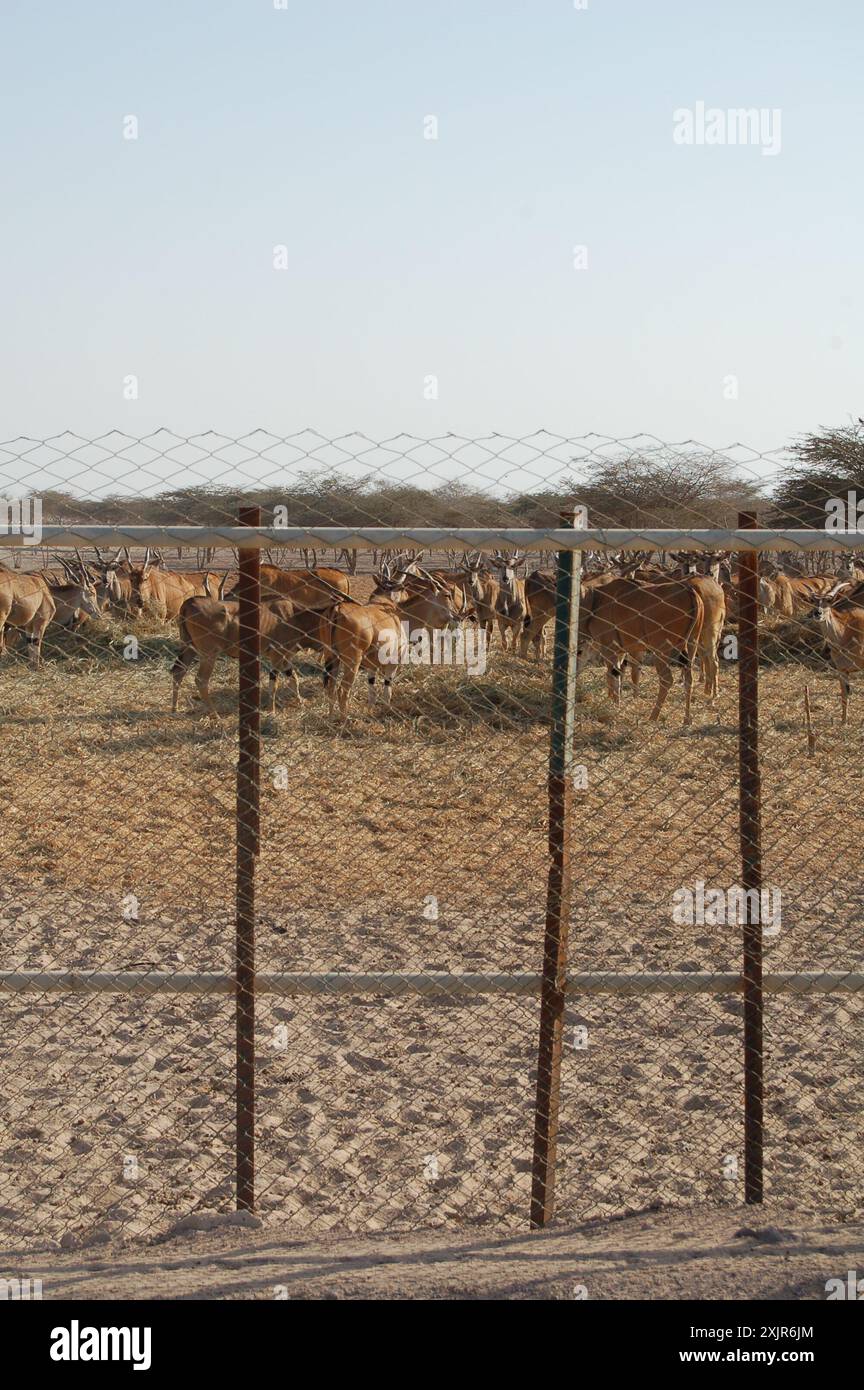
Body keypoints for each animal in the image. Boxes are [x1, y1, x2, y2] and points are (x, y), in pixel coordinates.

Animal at [578, 576, 705, 724]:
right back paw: (687, 719)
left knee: (667, 680)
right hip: (691, 645)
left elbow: (613, 677)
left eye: (579, 652)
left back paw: (653, 717)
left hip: (661, 651)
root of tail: (690, 592)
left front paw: (615, 707)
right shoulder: (622, 651)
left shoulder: (610, 649)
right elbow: (619, 675)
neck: (594, 601)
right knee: (689, 679)